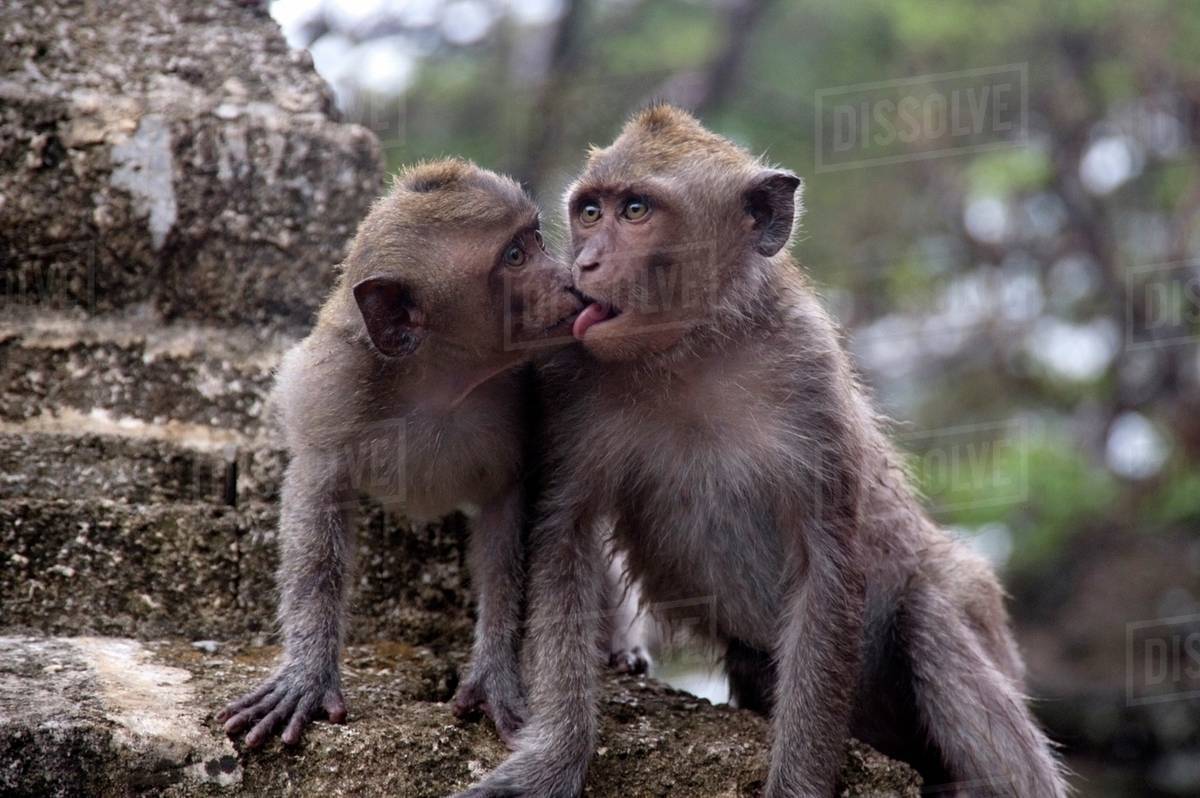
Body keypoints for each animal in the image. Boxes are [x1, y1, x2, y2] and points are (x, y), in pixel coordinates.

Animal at [217, 158, 591, 748]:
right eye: (515, 257)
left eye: (534, 240)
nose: (568, 277)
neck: (439, 379)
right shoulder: (330, 389)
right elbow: (317, 510)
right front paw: (308, 672)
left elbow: (505, 528)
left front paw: (494, 671)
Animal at [457, 106, 1068, 798]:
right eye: (589, 212)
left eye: (635, 210)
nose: (584, 262)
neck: (690, 349)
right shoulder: (568, 376)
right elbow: (565, 533)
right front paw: (554, 760)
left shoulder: (808, 369)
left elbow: (825, 560)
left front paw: (795, 785)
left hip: (975, 614)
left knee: (930, 615)